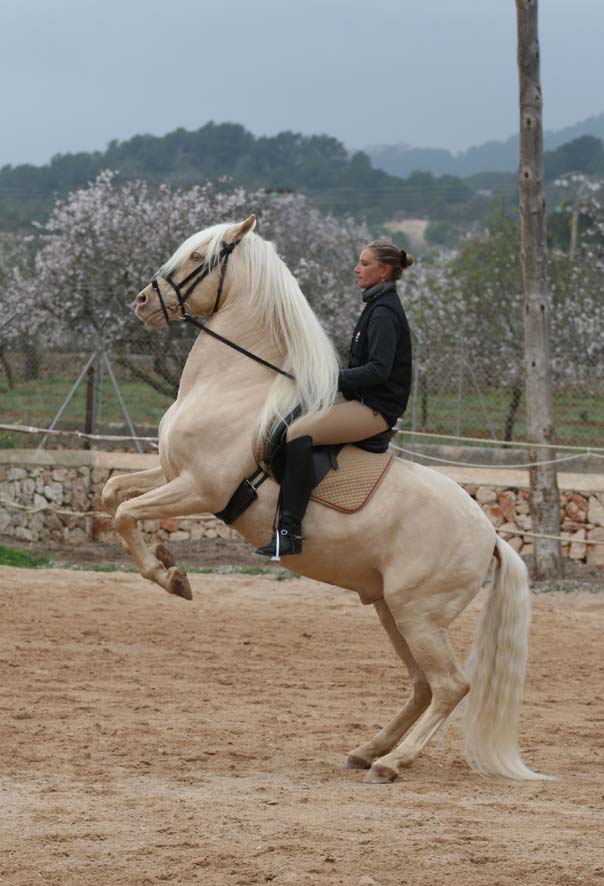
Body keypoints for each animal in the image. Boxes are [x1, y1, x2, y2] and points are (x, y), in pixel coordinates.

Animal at [102, 215, 547, 784]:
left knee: (450, 686)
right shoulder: (171, 473)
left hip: (418, 615)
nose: (141, 302)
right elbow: (114, 493)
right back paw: (367, 750)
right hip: (393, 610)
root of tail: (489, 534)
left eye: (199, 258)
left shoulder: (199, 487)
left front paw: (172, 578)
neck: (234, 386)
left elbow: (124, 513)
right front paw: (166, 561)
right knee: (423, 685)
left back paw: (393, 763)